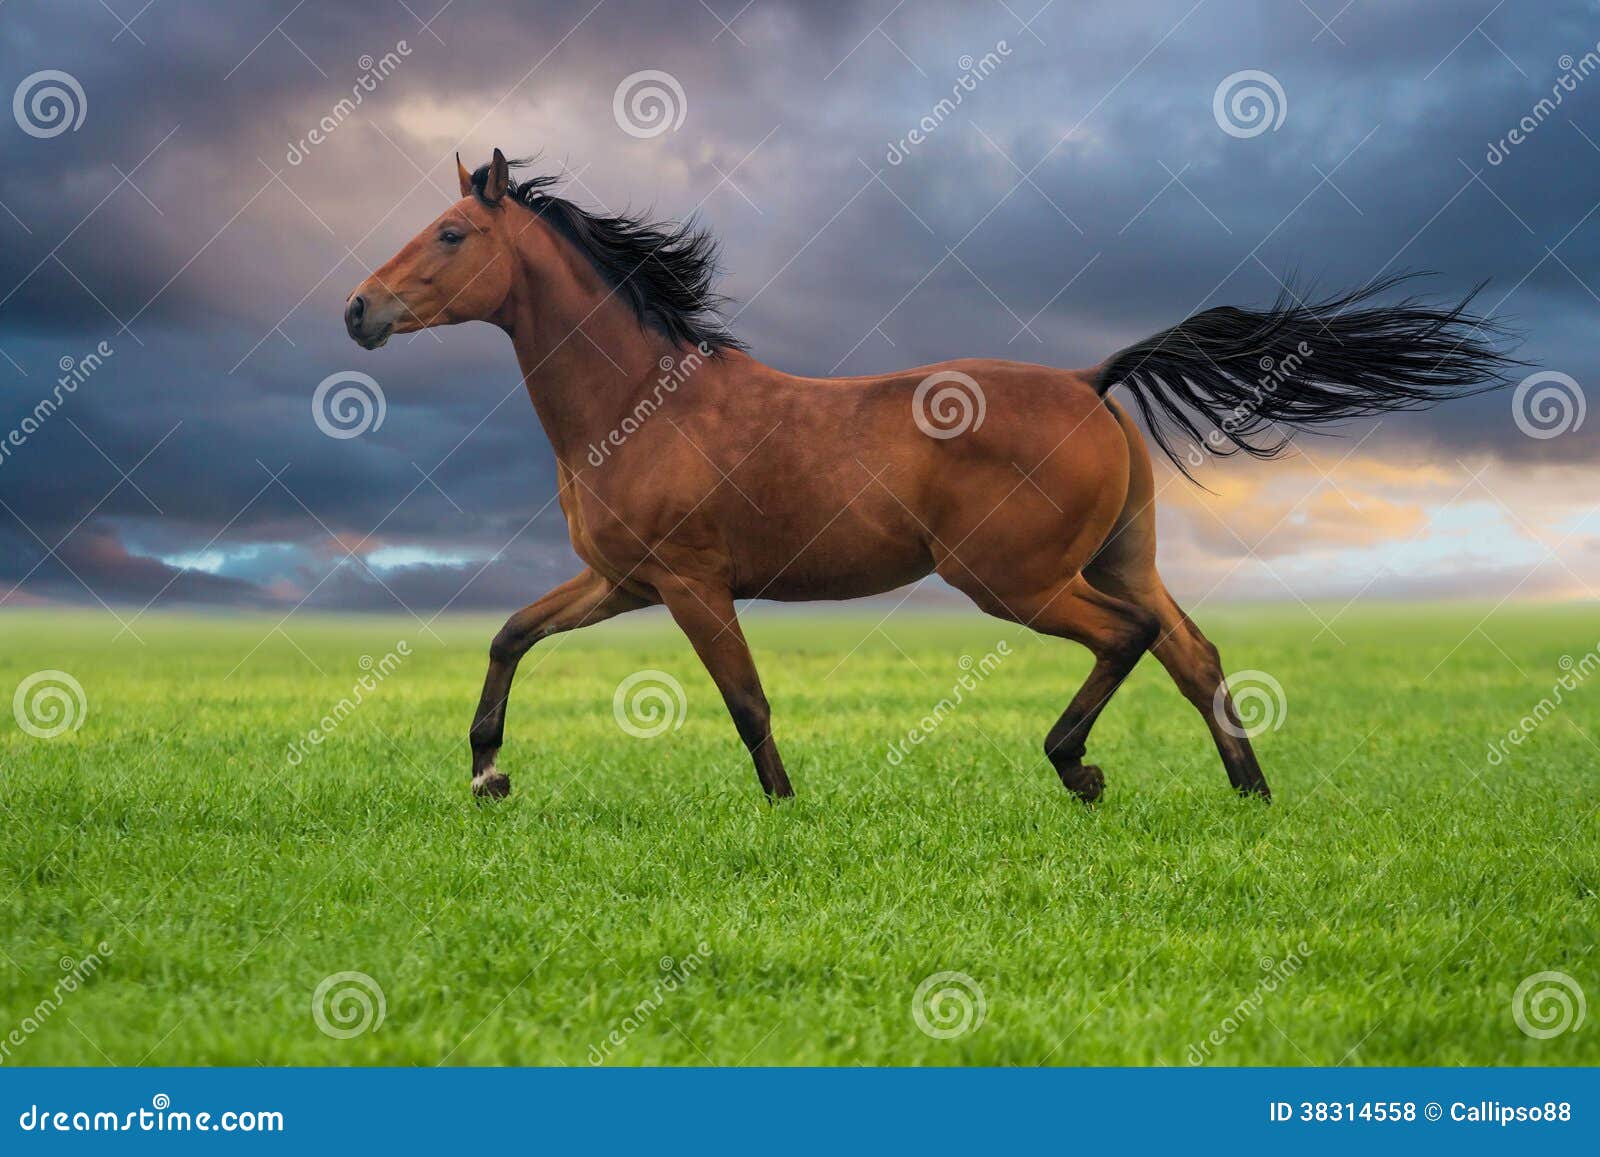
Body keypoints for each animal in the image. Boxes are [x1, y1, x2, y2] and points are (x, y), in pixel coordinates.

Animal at [343, 149, 1512, 805]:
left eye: (451, 234)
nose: (359, 309)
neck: (641, 404)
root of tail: (1090, 379)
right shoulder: (620, 581)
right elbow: (510, 635)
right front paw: (489, 774)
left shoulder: (688, 583)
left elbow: (746, 702)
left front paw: (784, 812)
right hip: (1118, 557)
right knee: (1191, 651)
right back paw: (1250, 794)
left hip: (1014, 580)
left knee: (1130, 639)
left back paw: (1077, 767)